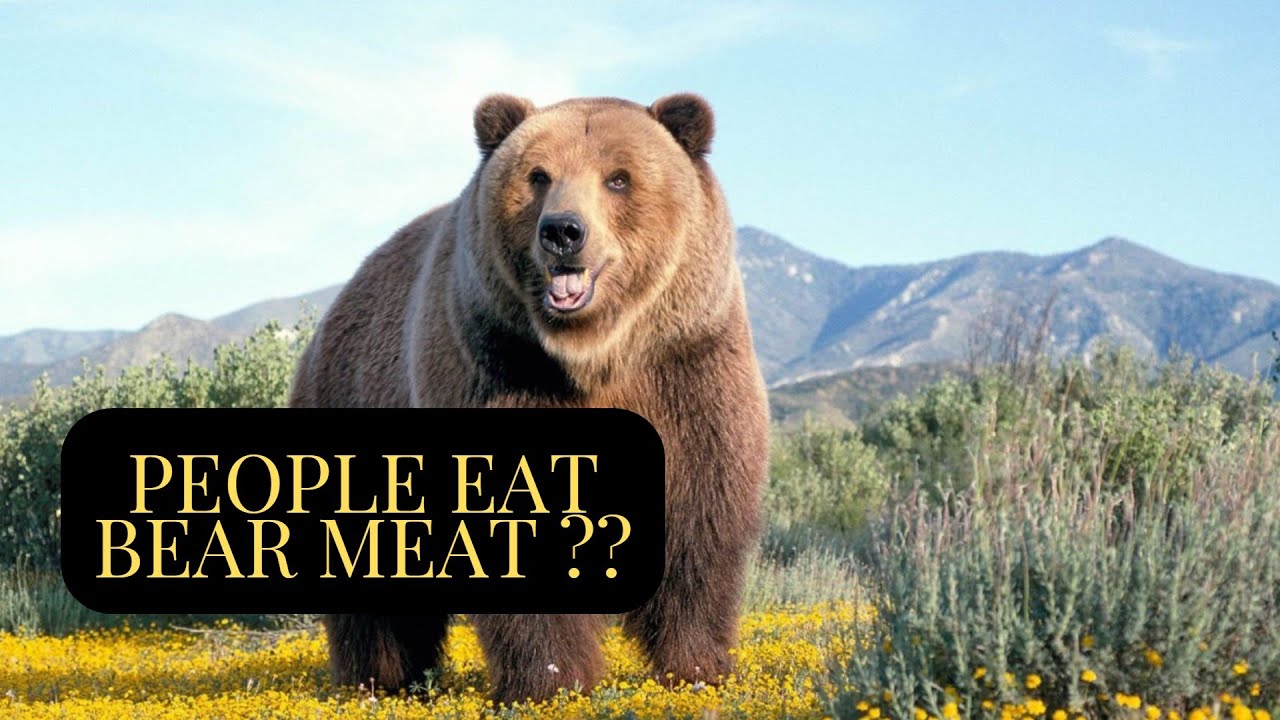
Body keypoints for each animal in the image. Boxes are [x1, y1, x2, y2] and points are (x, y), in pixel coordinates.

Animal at [288, 92, 770, 704]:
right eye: (538, 175)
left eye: (618, 177)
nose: (563, 230)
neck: (595, 354)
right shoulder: (503, 370)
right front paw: (551, 680)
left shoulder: (686, 368)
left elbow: (698, 518)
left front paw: (698, 666)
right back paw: (380, 679)